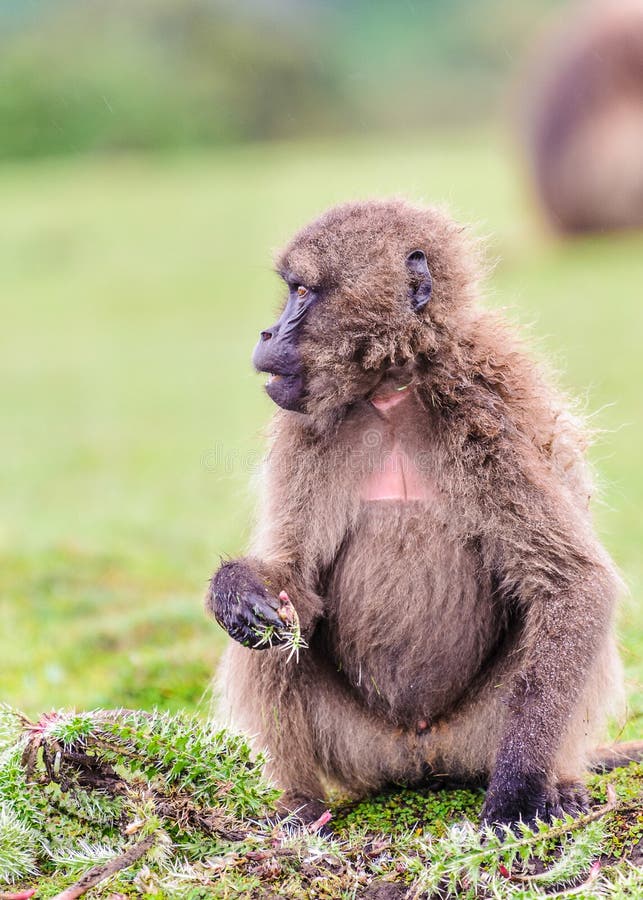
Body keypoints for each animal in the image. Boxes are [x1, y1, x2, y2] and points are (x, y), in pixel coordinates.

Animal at [206, 198, 636, 829]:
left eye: (301, 292)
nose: (266, 332)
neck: (394, 388)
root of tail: (420, 752)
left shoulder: (487, 411)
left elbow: (573, 583)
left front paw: (516, 794)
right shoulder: (303, 429)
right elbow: (295, 587)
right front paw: (237, 589)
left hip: (479, 733)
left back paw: (555, 782)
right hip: (360, 746)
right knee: (274, 630)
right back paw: (302, 807)